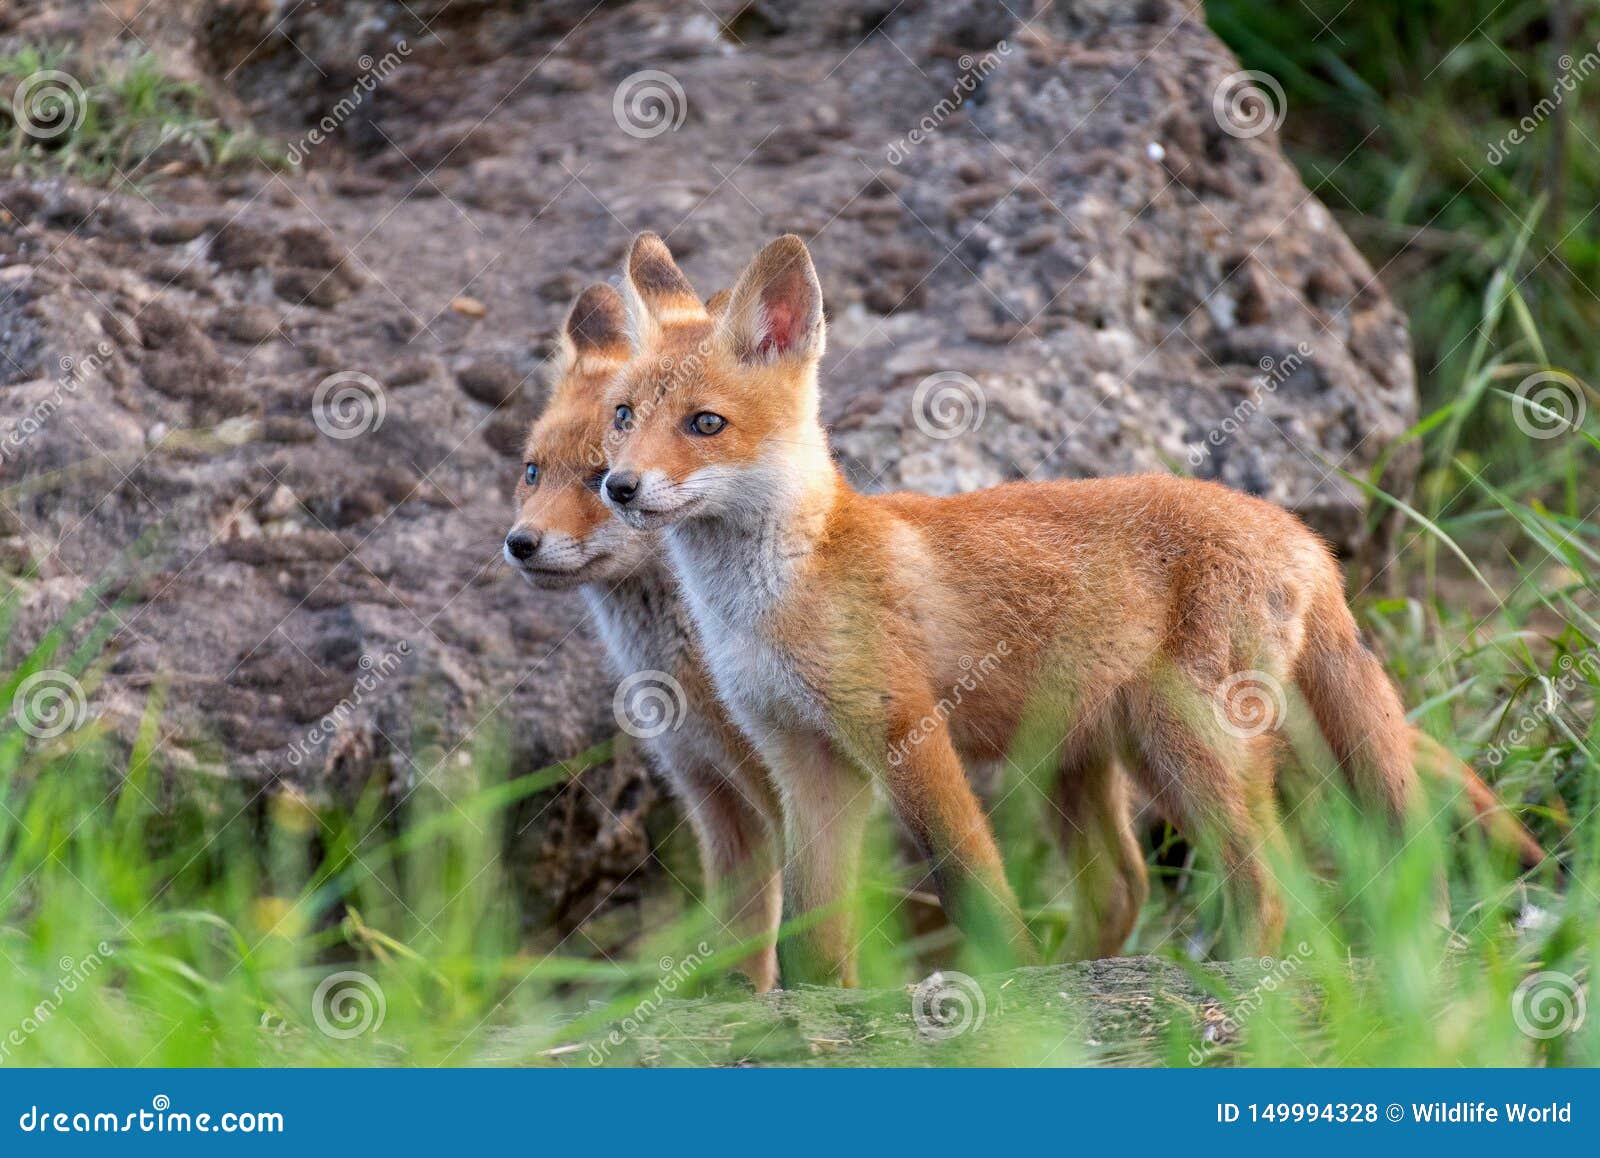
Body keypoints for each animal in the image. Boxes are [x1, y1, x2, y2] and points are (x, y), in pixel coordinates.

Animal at [598, 231, 1545, 984]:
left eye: (705, 424)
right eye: (622, 416)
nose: (618, 486)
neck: (770, 602)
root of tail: (1304, 539)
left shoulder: (906, 732)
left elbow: (973, 885)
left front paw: (1010, 999)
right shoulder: (803, 760)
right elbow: (810, 934)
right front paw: (814, 1019)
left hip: (1186, 743)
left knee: (1273, 885)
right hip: (1103, 756)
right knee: (1138, 884)